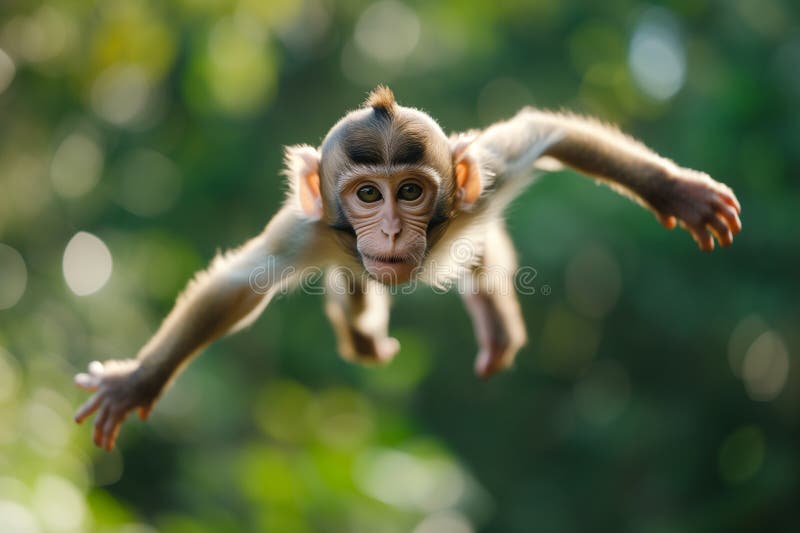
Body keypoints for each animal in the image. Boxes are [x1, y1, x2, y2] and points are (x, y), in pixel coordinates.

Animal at [74, 86, 741, 451]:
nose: (393, 228)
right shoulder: (308, 231)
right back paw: (366, 331)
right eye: (369, 195)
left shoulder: (482, 181)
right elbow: (233, 288)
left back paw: (491, 312)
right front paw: (135, 384)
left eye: (412, 192)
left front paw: (676, 190)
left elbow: (544, 131)